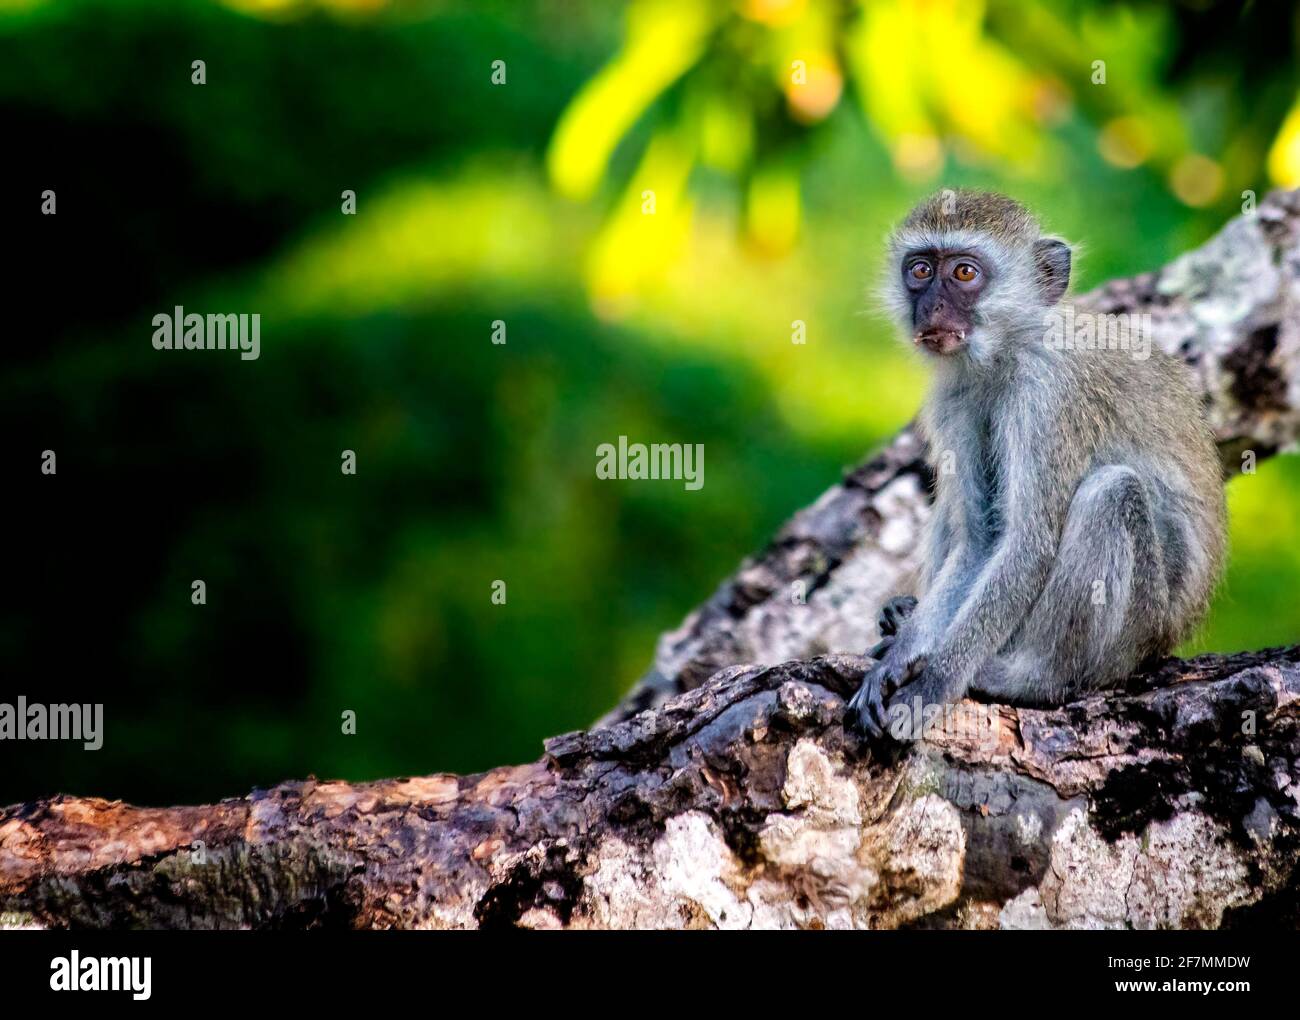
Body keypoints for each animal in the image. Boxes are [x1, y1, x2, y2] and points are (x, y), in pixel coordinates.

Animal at [846, 190, 1226, 741]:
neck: (1007, 353)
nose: (931, 307)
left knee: (1113, 492)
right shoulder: (953, 399)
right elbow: (980, 539)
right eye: (920, 270)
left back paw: (1033, 679)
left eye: (964, 273)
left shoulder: (1049, 395)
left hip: (1138, 631)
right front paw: (899, 658)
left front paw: (933, 683)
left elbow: (1029, 543)